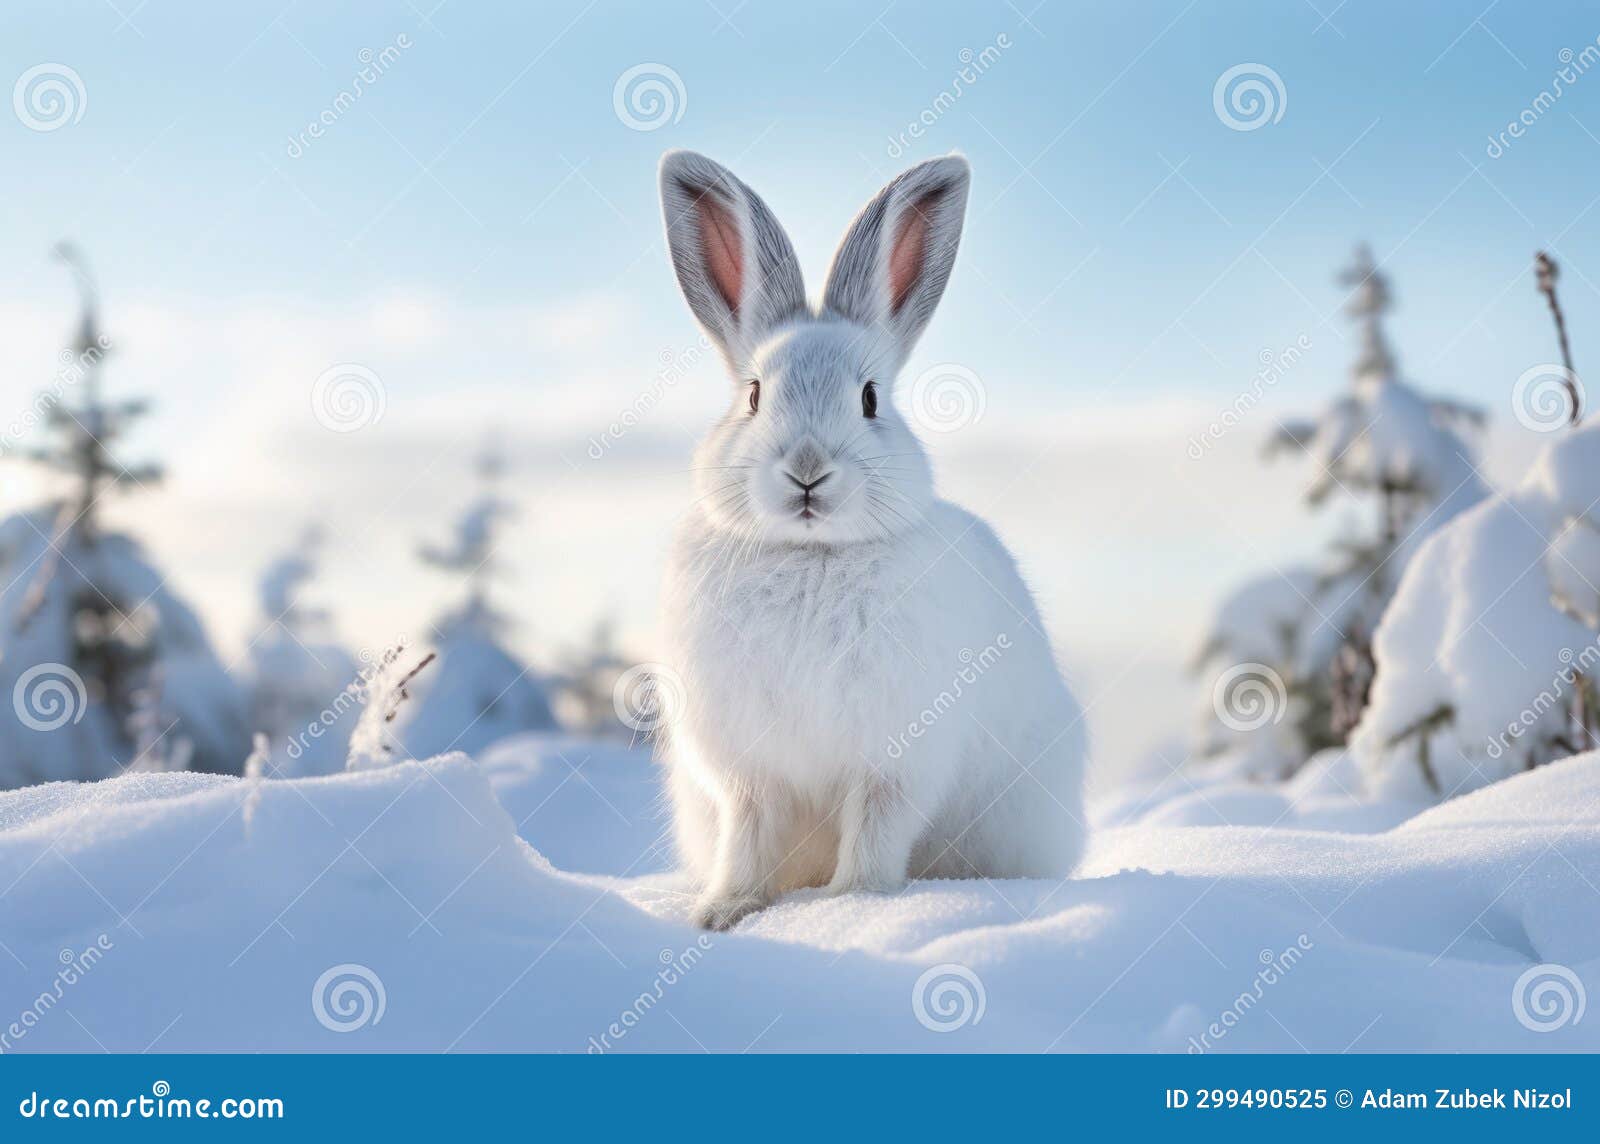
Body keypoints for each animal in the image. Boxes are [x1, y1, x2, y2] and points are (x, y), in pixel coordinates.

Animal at [655, 149, 1086, 931]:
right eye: (754, 395)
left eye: (869, 398)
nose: (806, 470)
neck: (812, 556)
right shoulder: (747, 773)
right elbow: (748, 831)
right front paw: (727, 910)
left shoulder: (896, 762)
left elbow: (878, 826)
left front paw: (855, 902)